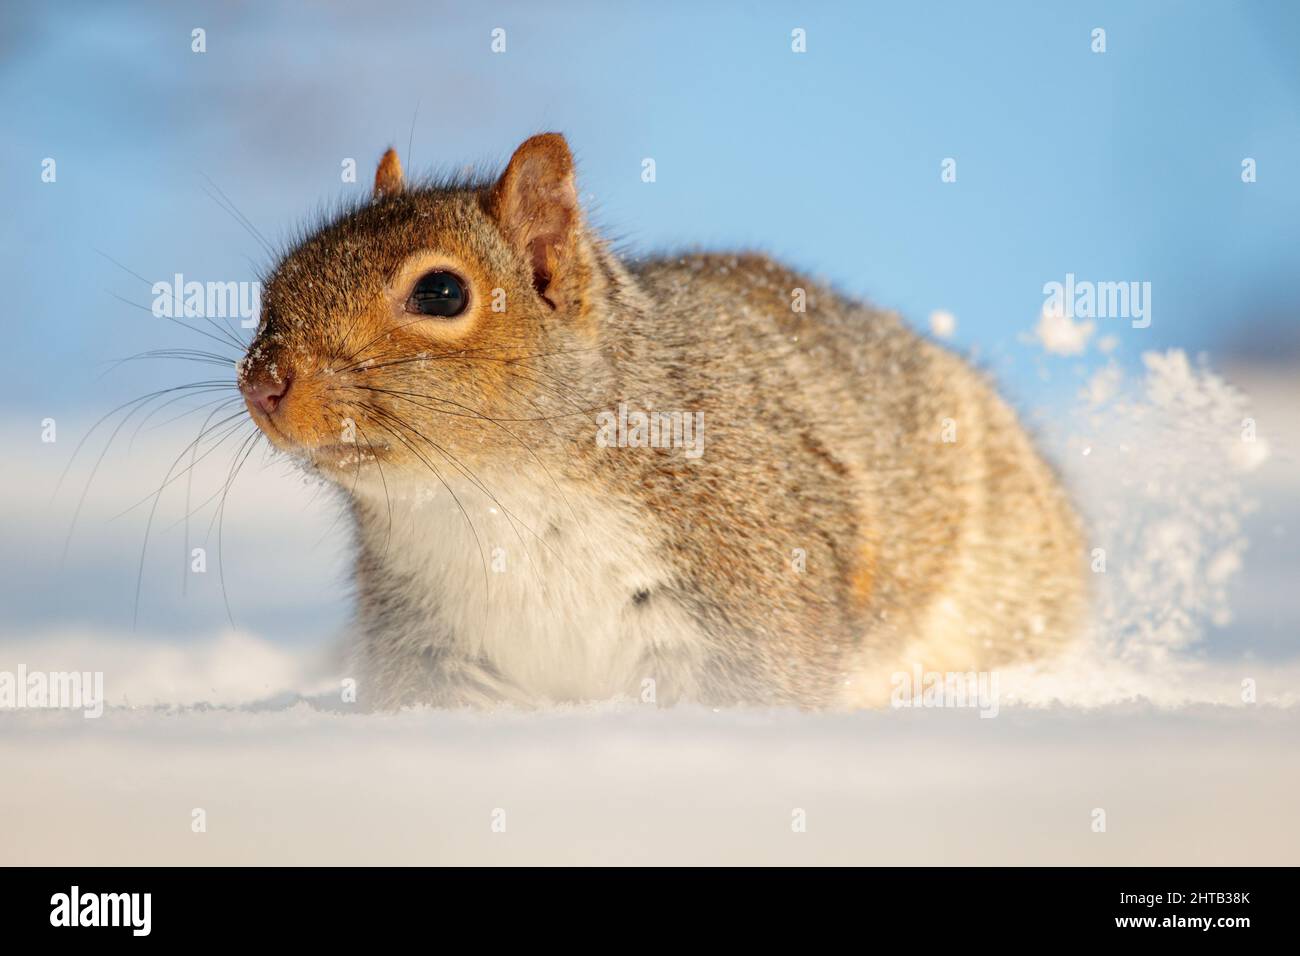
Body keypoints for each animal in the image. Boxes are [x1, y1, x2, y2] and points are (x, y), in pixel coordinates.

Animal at [237, 133, 1087, 709]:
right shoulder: (428, 647)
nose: (265, 382)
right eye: (276, 282)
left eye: (441, 293)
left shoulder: (752, 592)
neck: (494, 494)